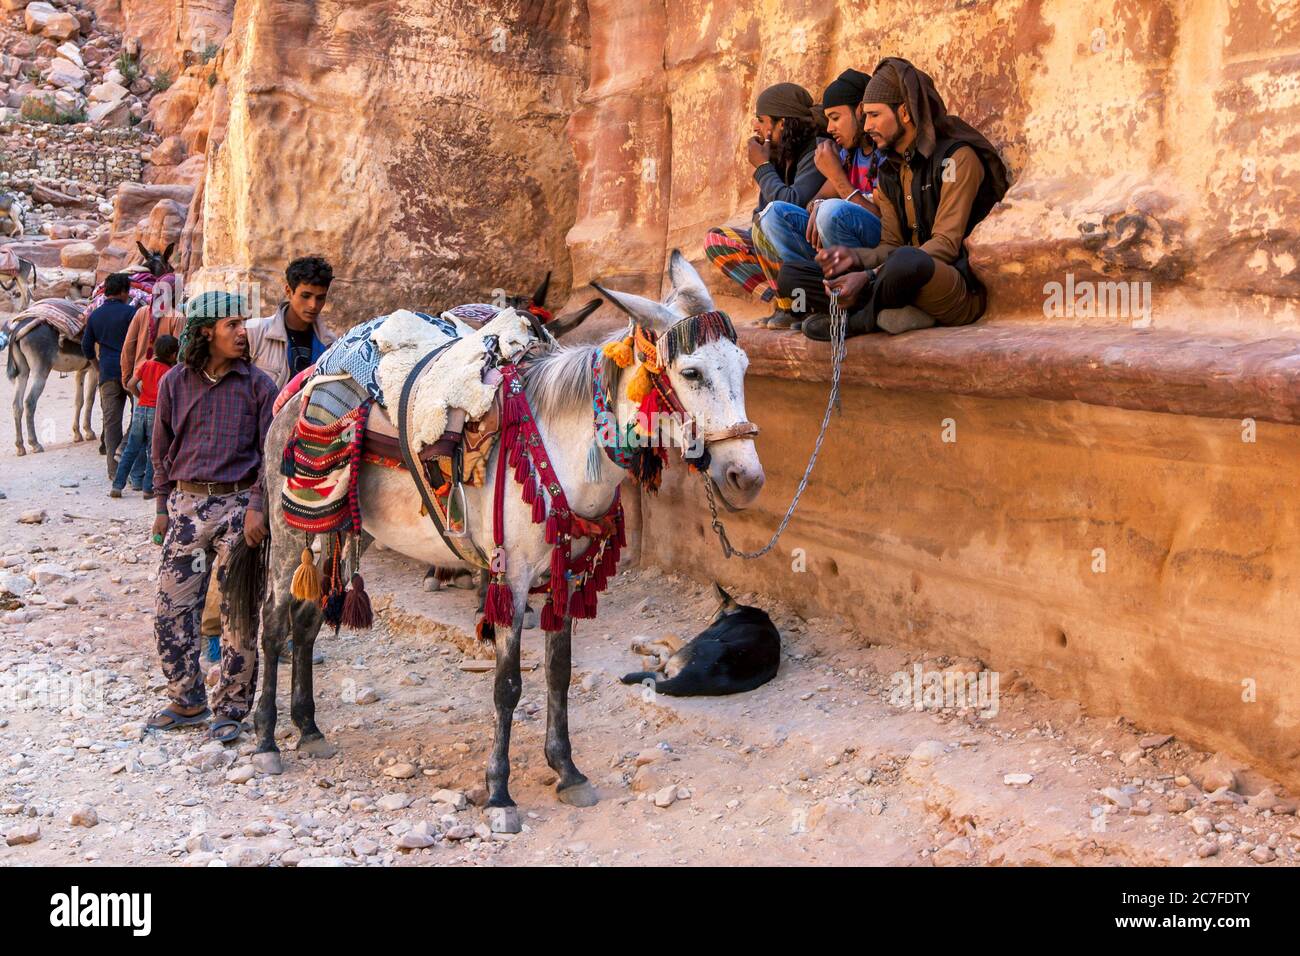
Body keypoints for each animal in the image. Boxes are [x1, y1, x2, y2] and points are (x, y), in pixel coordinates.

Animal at [6, 299, 99, 455]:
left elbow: (79, 401)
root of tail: (19, 327)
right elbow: (90, 400)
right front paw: (89, 432)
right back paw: (35, 444)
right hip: (40, 372)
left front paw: (77, 434)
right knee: (29, 402)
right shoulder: (94, 370)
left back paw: (20, 447)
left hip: (23, 373)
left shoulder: (81, 372)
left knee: (16, 405)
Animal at [249, 252, 764, 825]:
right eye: (691, 373)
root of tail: (303, 382)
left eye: (743, 368)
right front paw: (499, 791)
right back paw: (267, 741)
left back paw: (309, 728)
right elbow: (509, 684)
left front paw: (568, 771)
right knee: (273, 621)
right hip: (291, 526)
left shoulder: (569, 574)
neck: (563, 445)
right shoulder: (511, 579)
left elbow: (559, 673)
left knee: (307, 620)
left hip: (343, 529)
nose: (746, 476)